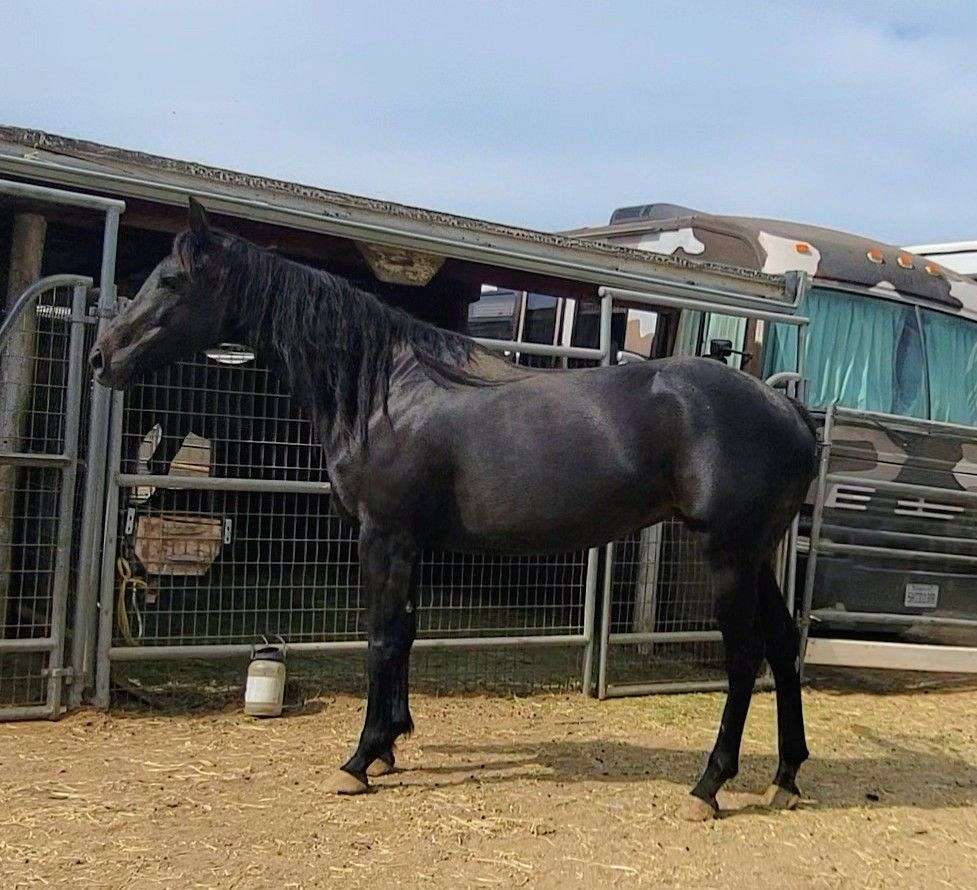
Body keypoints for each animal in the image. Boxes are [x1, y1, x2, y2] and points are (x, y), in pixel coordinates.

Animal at [90, 199, 818, 820]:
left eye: (171, 281)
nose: (102, 358)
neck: (385, 390)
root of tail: (787, 410)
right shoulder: (411, 542)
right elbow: (406, 632)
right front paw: (389, 744)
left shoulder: (384, 536)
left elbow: (382, 636)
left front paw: (359, 759)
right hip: (755, 555)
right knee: (784, 647)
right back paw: (784, 778)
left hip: (728, 555)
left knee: (743, 658)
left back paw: (708, 785)